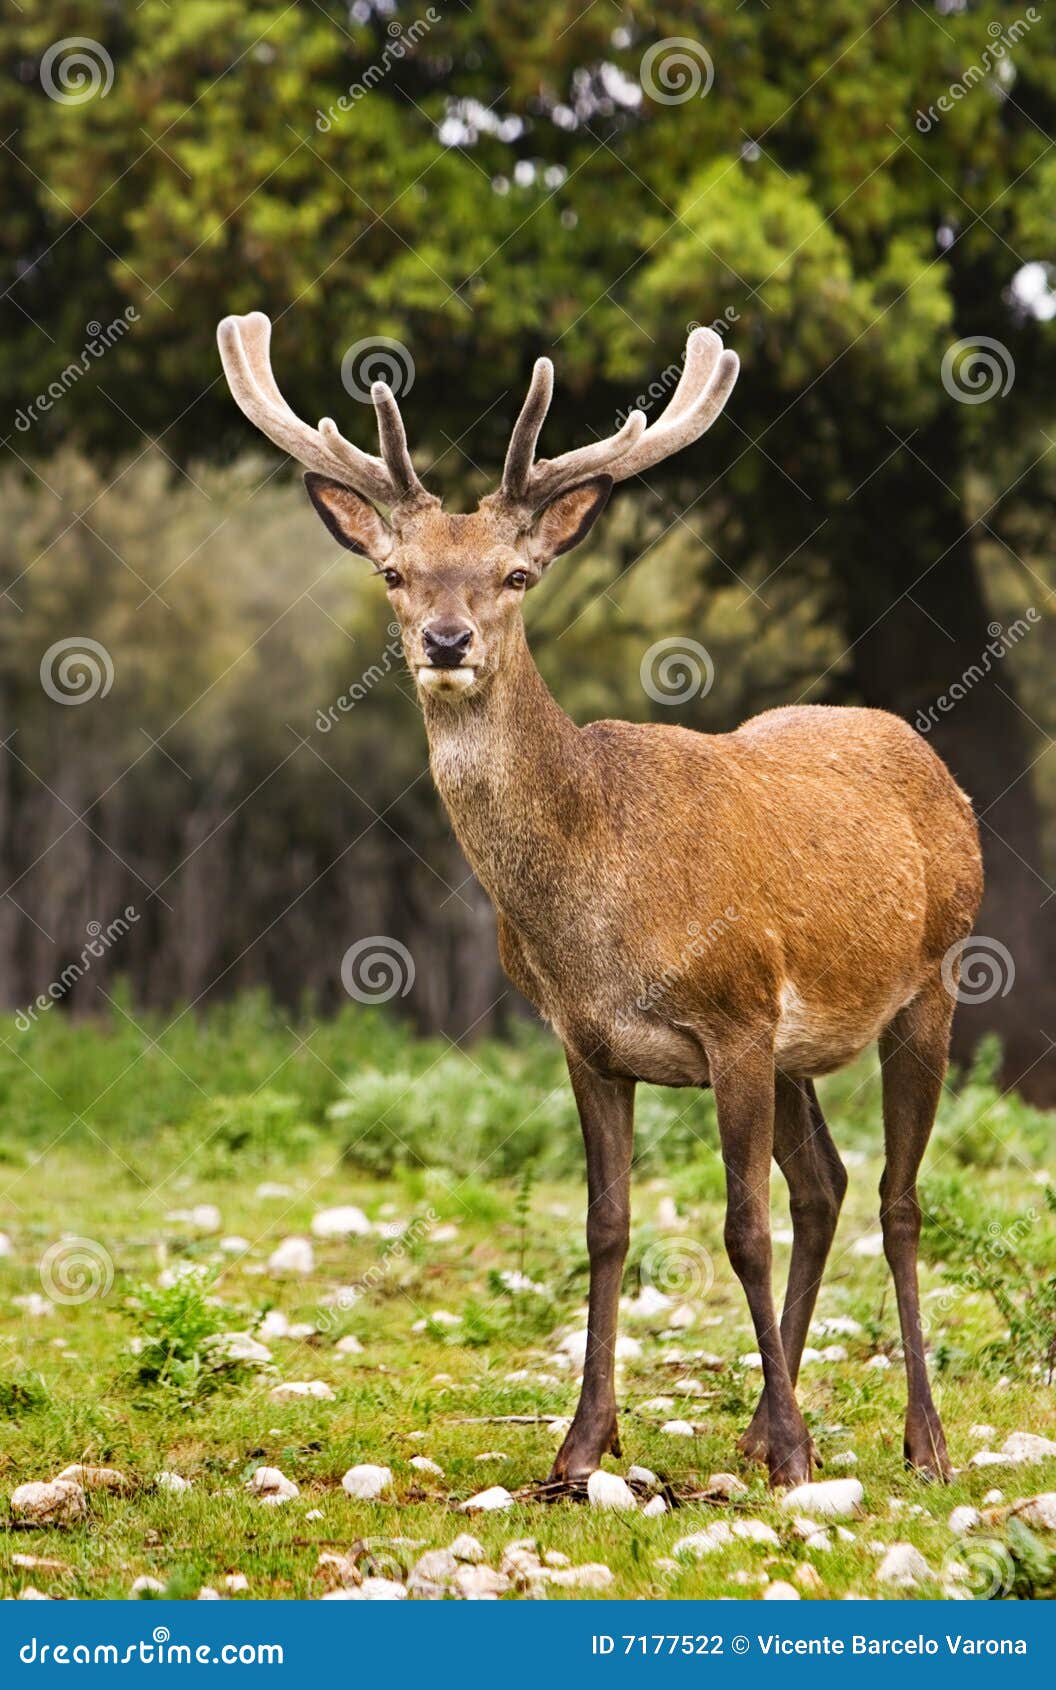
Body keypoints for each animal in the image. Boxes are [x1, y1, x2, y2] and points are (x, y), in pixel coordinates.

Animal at [217, 311, 983, 1489]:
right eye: (395, 572)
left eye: (517, 574)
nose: (446, 642)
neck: (595, 909)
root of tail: (939, 768)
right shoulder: (584, 1039)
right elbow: (606, 1225)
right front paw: (583, 1447)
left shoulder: (735, 1013)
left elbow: (741, 1228)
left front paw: (795, 1456)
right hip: (804, 1049)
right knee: (829, 1184)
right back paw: (758, 1422)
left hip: (932, 979)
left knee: (898, 1201)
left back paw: (921, 1439)